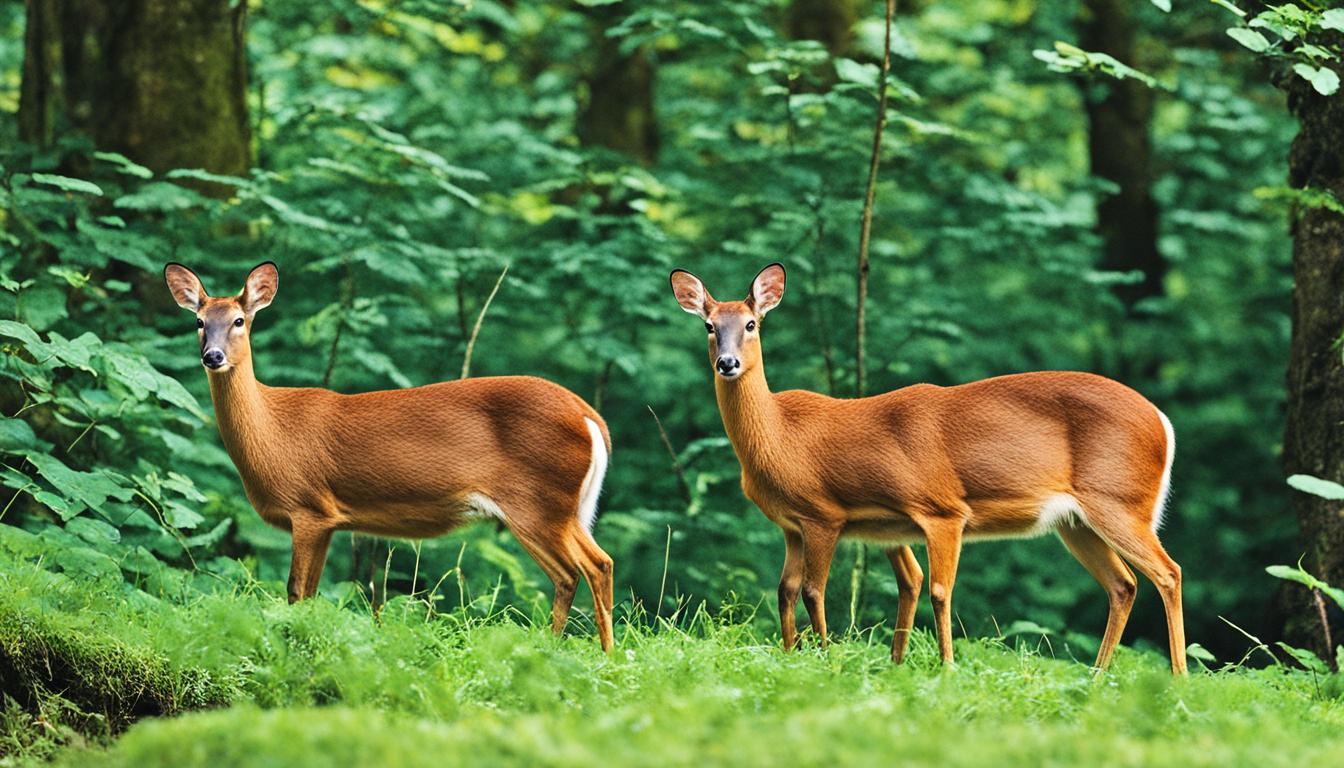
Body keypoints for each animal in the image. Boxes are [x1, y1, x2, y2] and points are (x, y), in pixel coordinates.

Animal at [164, 262, 616, 651]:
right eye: (200, 322)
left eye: (239, 321)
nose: (213, 356)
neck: (274, 432)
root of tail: (591, 418)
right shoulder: (329, 519)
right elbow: (310, 592)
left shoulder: (307, 507)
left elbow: (295, 590)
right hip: (564, 509)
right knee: (578, 572)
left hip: (539, 503)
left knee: (591, 566)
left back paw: (600, 655)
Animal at [669, 263, 1186, 674]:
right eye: (709, 326)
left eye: (752, 323)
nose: (728, 363)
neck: (781, 438)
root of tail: (1162, 422)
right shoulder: (801, 525)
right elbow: (788, 589)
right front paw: (798, 657)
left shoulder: (892, 511)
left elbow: (899, 589)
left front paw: (930, 665)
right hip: (1076, 521)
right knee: (1124, 584)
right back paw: (1098, 676)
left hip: (1119, 501)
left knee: (1168, 572)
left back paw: (1178, 676)